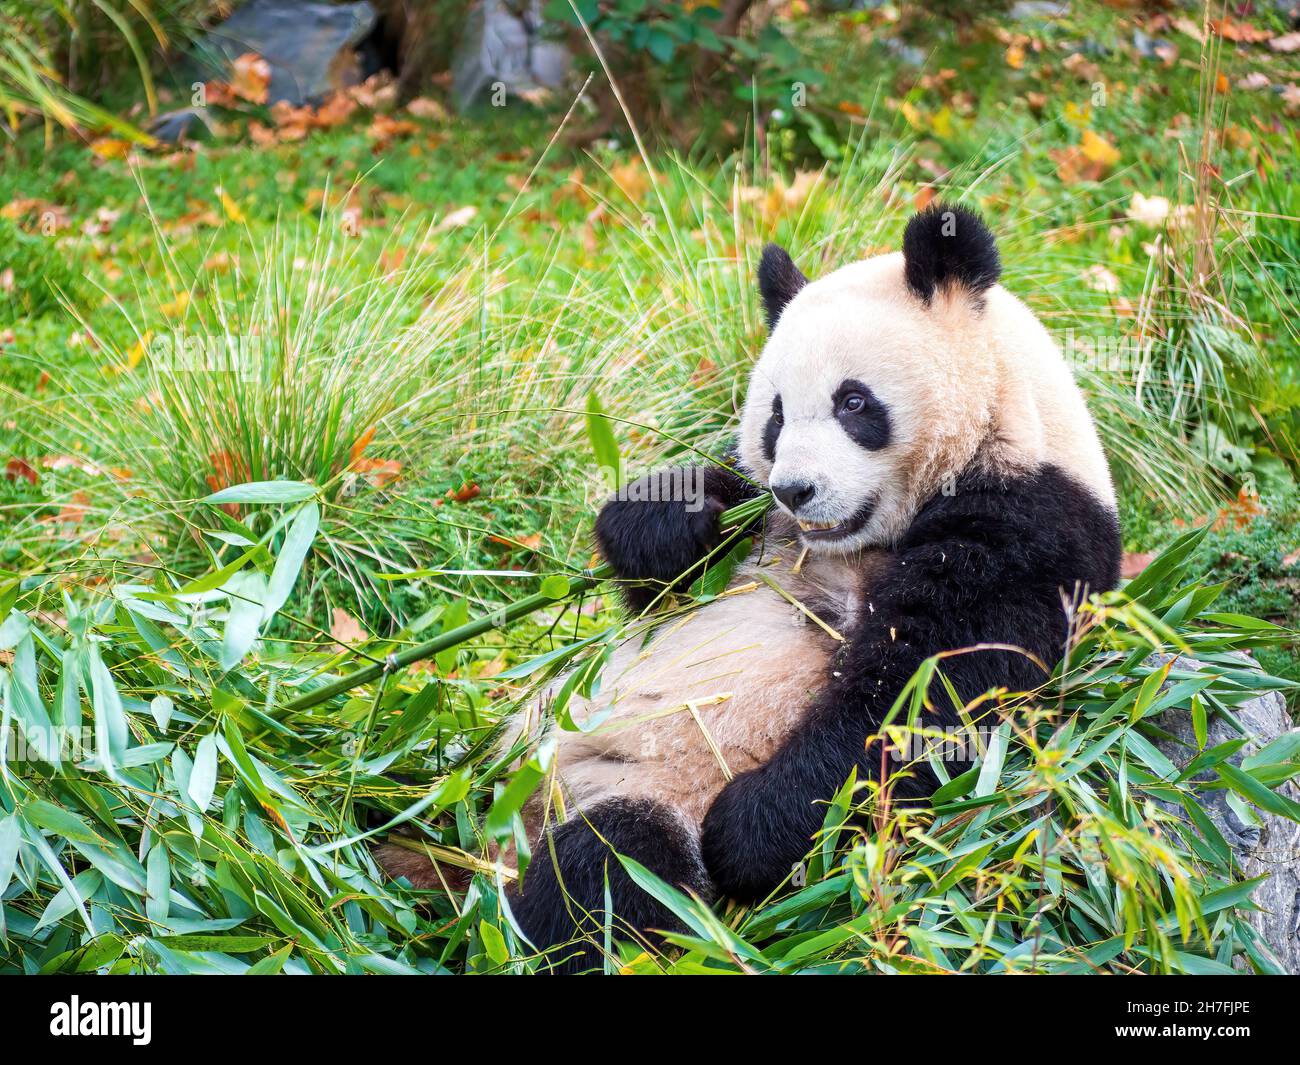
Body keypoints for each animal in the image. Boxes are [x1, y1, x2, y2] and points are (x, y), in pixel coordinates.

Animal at [377, 204, 1122, 972]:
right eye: (776, 414)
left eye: (854, 402)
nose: (796, 489)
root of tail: (501, 833)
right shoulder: (761, 525)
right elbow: (664, 586)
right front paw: (676, 521)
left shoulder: (1036, 526)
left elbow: (924, 696)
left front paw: (750, 832)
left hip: (642, 792)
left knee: (608, 873)